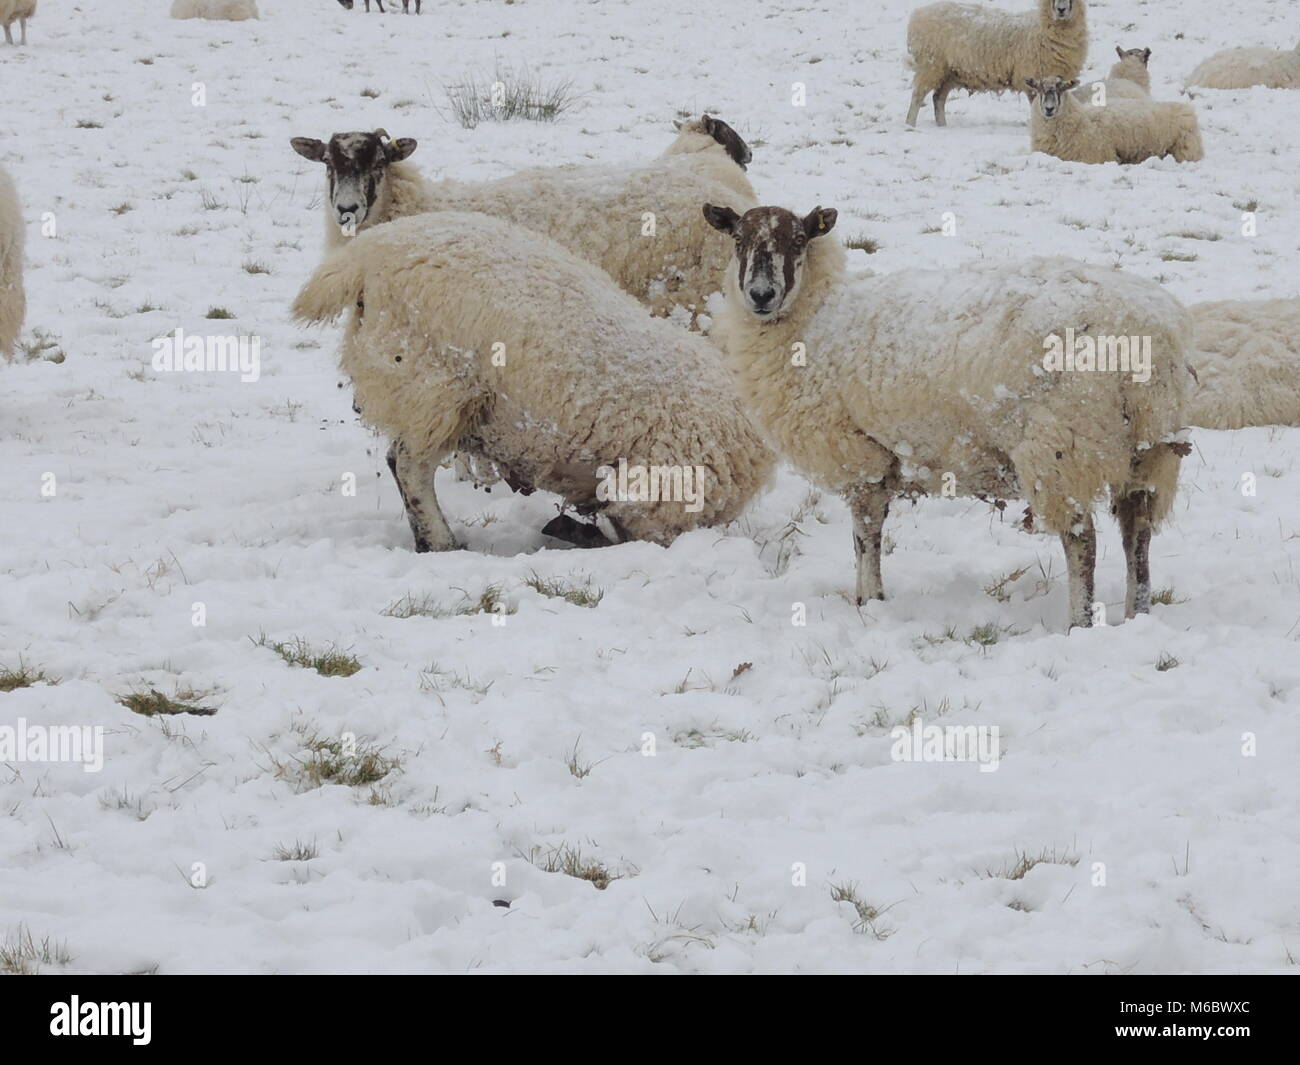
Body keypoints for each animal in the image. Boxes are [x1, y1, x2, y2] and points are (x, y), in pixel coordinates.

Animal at [291, 211, 775, 551]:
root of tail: (368, 253)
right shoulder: (657, 498)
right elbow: (624, 530)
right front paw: (574, 531)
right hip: (434, 386)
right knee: (410, 467)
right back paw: (440, 541)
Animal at [702, 202, 1191, 630]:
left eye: (799, 239)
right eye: (738, 239)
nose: (761, 295)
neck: (816, 318)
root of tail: (1149, 334)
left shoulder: (859, 456)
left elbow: (865, 535)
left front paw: (868, 600)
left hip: (1061, 445)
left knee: (1081, 540)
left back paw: (1079, 622)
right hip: (1150, 447)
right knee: (1138, 533)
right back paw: (1138, 613)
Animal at [905, 0, 1088, 127]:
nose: (1061, 9)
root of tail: (918, 14)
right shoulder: (1033, 77)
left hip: (950, 72)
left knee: (938, 98)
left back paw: (942, 126)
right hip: (931, 65)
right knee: (918, 95)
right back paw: (910, 125)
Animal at [1026, 76, 1203, 163]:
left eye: (1062, 88)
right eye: (1039, 89)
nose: (1049, 109)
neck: (1082, 119)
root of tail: (1186, 109)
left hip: (1184, 149)